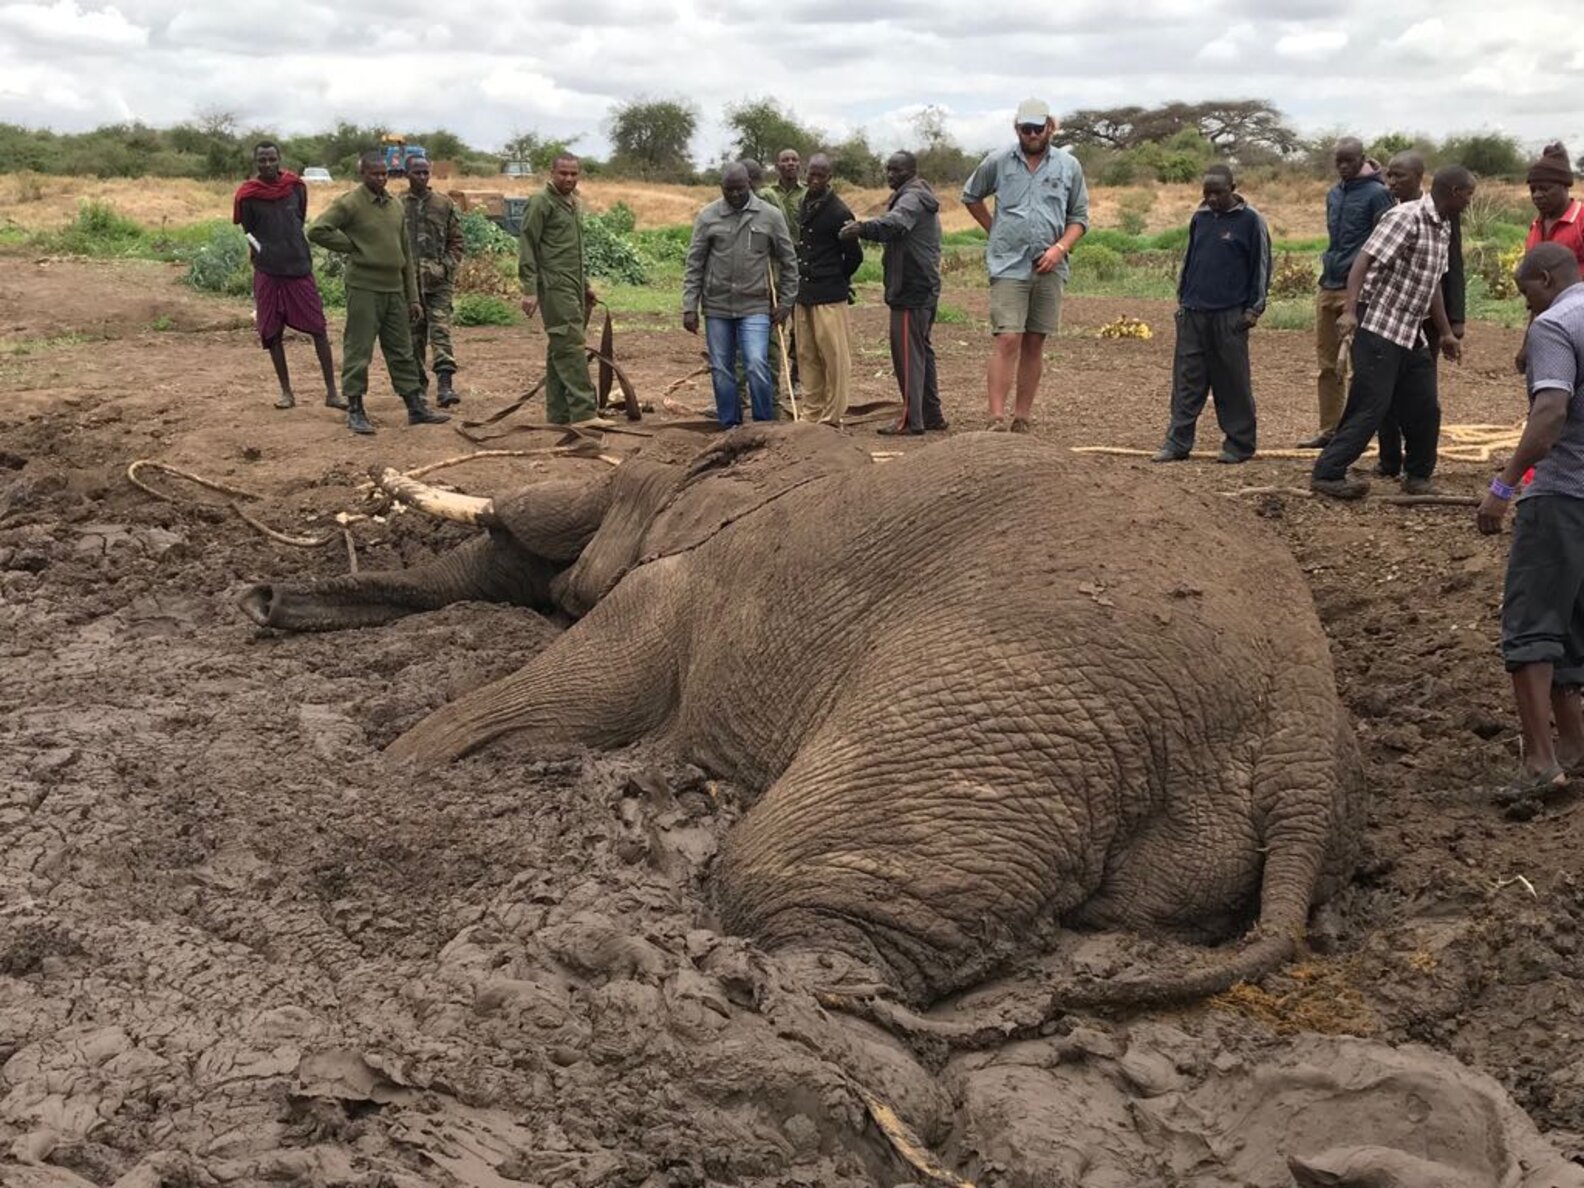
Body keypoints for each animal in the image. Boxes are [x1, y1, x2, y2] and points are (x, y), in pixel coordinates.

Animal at [239, 424, 1363, 1019]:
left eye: (612, 491)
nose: (259, 599)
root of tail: (1306, 739)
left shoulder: (674, 590)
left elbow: (531, 706)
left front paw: (386, 767)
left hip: (1010, 702)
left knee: (787, 901)